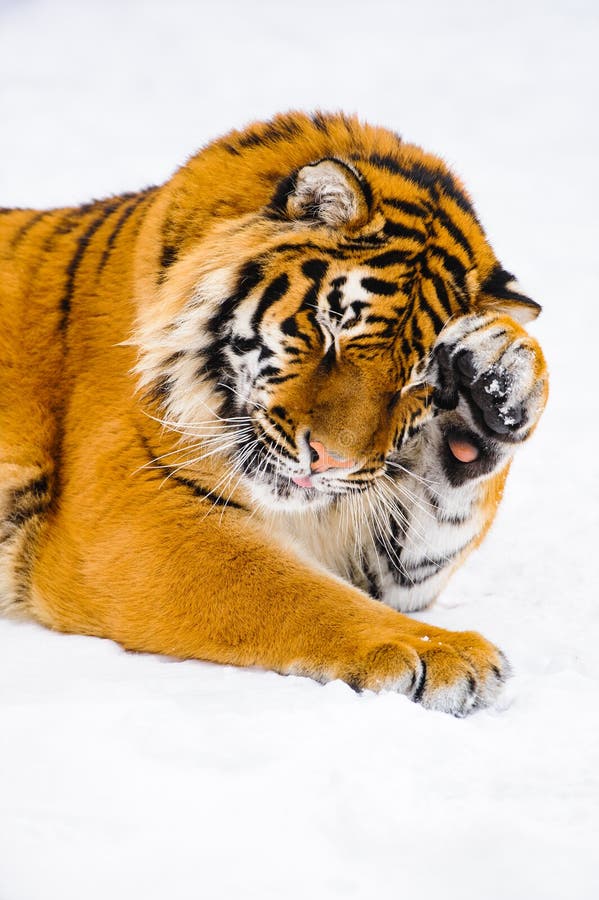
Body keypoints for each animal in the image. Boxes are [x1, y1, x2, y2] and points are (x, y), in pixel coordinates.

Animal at [0, 111, 548, 716]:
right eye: (330, 331)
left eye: (415, 382)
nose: (329, 461)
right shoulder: (128, 511)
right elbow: (293, 590)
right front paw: (441, 652)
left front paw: (500, 374)